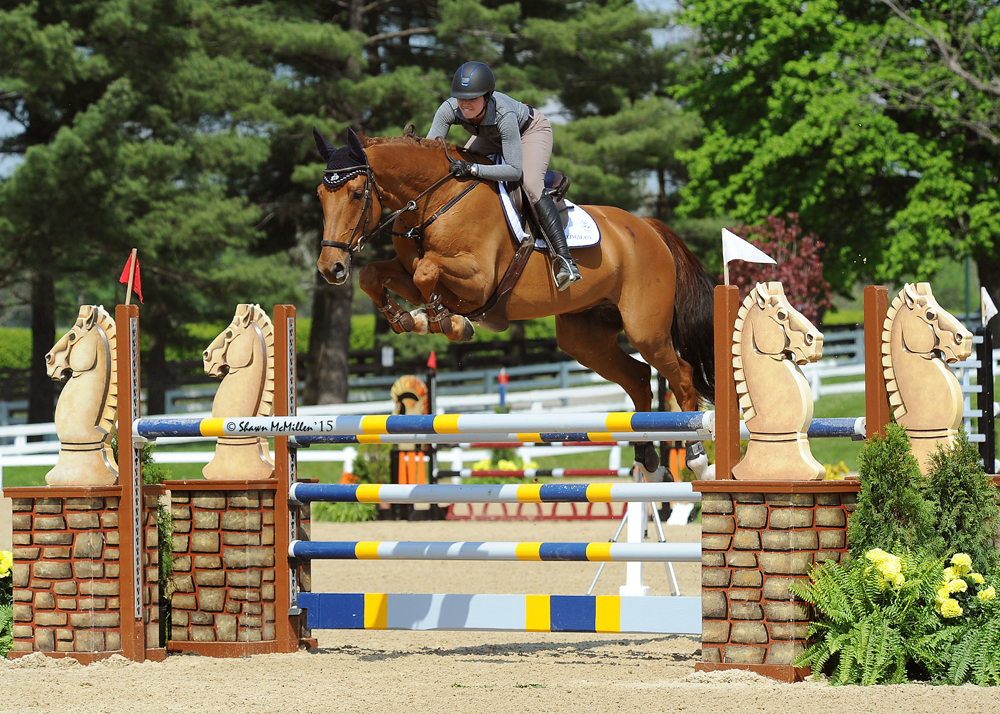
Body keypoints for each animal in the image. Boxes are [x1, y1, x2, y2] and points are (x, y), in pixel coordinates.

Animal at [312, 127, 716, 469]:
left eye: (356, 193)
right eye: (319, 195)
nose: (330, 267)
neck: (435, 201)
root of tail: (649, 227)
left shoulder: (478, 280)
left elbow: (426, 270)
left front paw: (447, 323)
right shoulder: (414, 274)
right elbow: (376, 275)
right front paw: (409, 318)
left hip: (646, 330)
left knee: (682, 375)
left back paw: (695, 455)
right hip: (584, 338)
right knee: (638, 377)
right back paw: (646, 455)